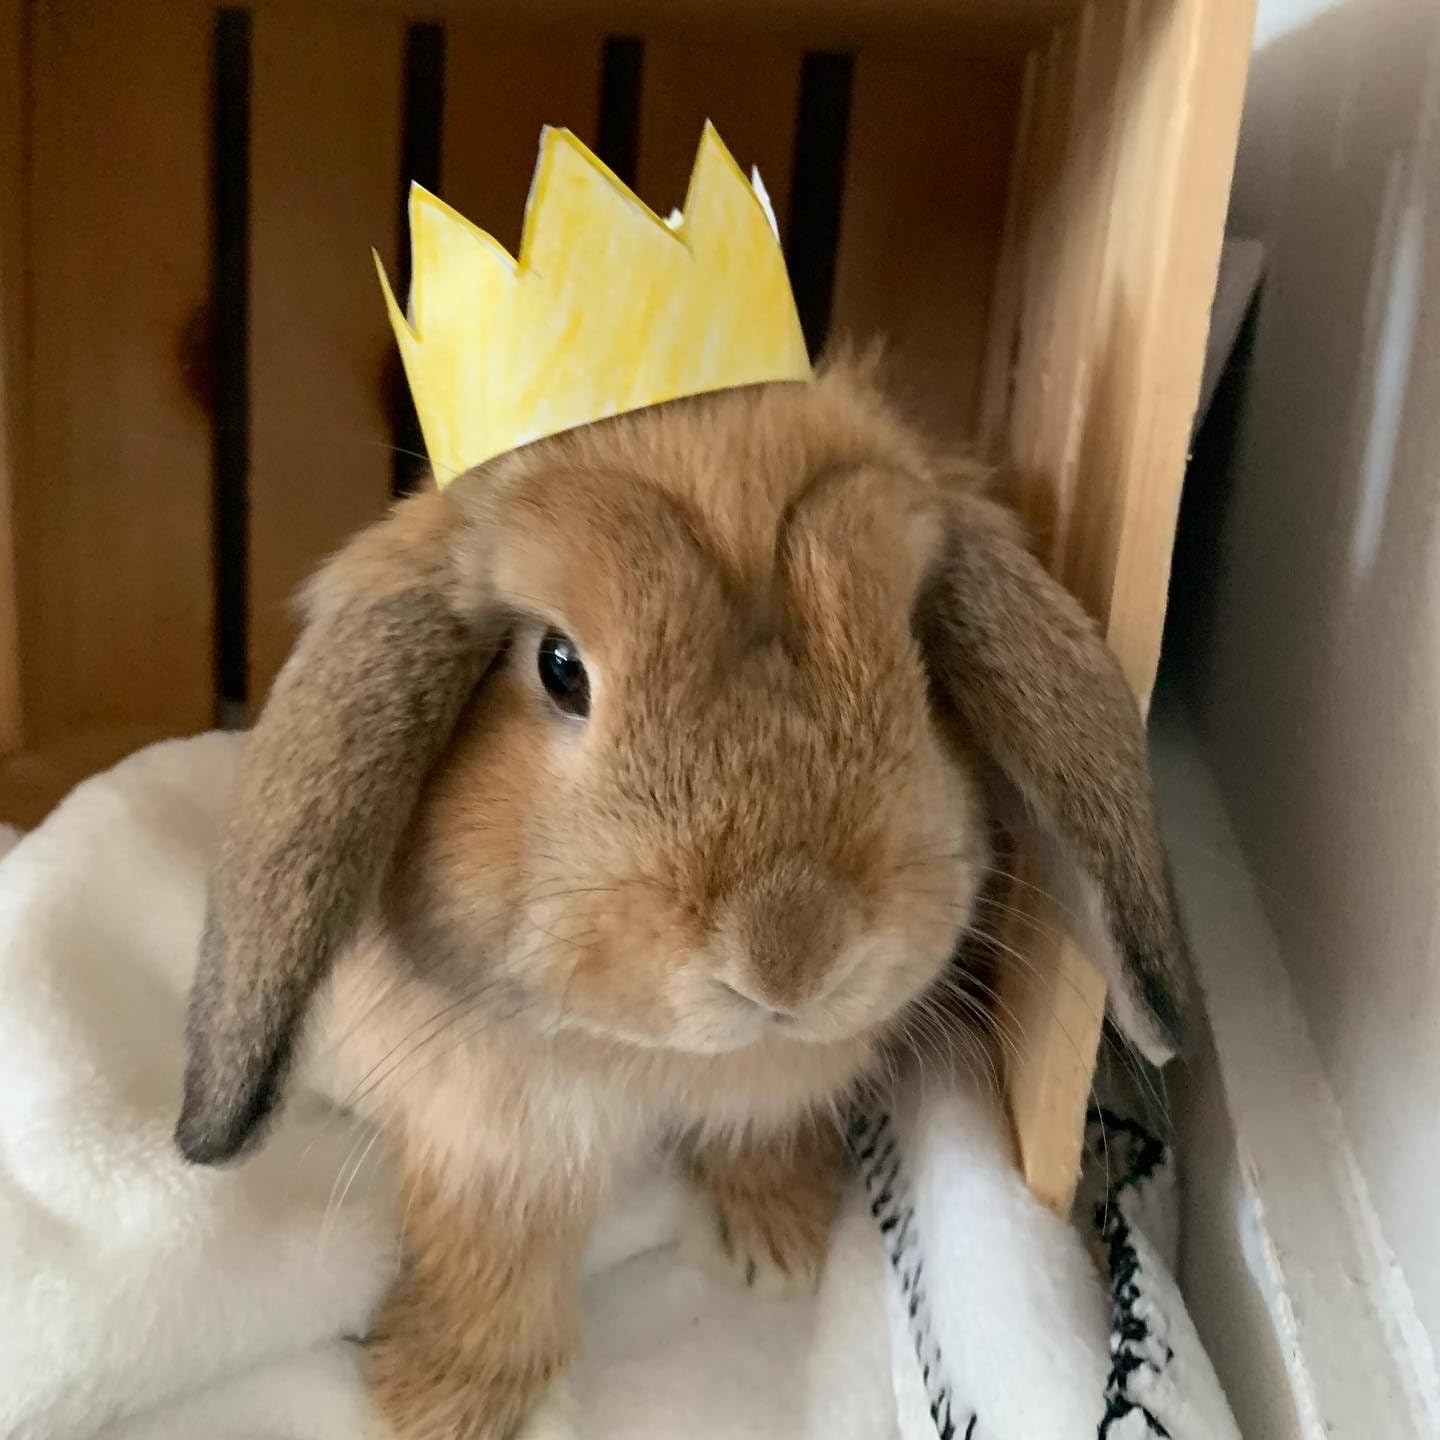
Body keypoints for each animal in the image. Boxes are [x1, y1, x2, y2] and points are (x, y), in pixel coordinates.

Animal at [174, 354, 1188, 1440]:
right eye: (558, 667)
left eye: (916, 657)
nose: (790, 954)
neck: (662, 1061)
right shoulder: (493, 1135)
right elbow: (495, 1258)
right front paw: (451, 1407)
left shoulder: (782, 1086)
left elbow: (759, 1144)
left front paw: (777, 1248)